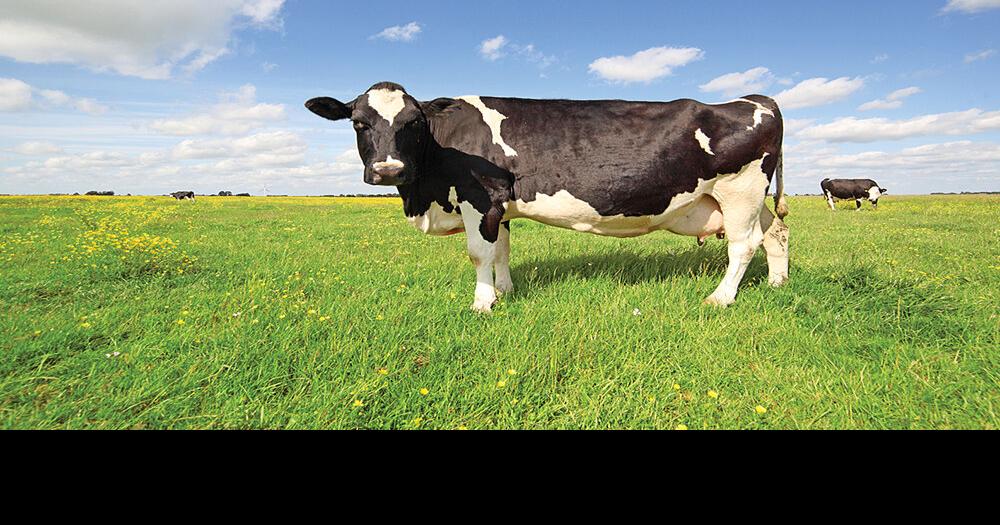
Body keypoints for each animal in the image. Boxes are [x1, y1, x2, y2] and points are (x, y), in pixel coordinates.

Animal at [306, 82, 790, 312]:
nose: (389, 169)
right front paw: (504, 291)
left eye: (413, 122)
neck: (424, 195)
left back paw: (720, 298)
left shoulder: (479, 197)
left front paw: (482, 303)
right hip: (749, 197)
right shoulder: (499, 204)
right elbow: (501, 249)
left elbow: (479, 253)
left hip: (740, 188)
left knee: (743, 244)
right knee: (776, 232)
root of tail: (753, 99)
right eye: (359, 123)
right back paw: (777, 283)